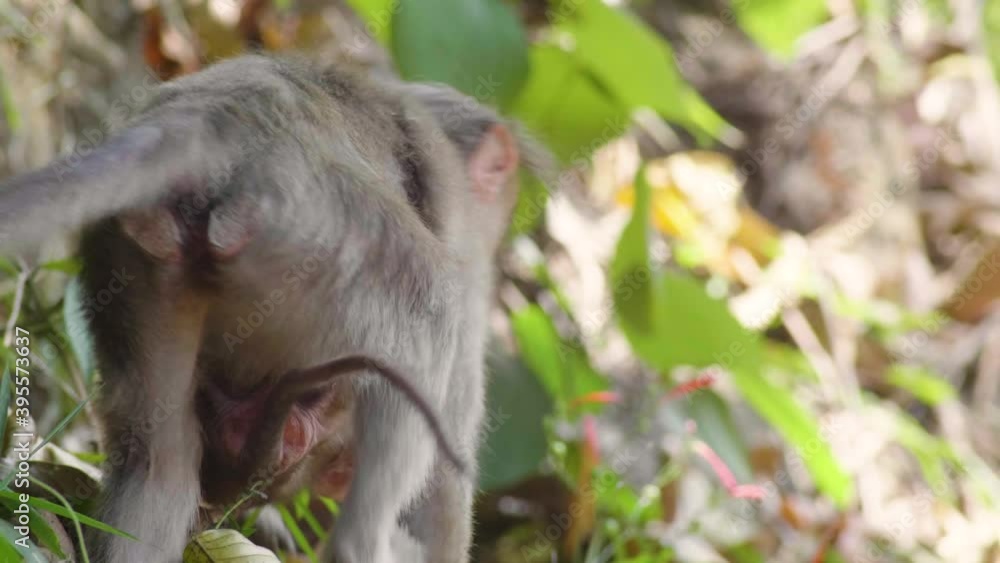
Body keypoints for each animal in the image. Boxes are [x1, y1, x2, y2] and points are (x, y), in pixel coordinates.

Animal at [0, 54, 552, 562]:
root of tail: (213, 117)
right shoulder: (468, 255)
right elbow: (444, 490)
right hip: (321, 225)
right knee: (430, 304)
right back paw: (357, 543)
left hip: (138, 259)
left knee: (160, 463)